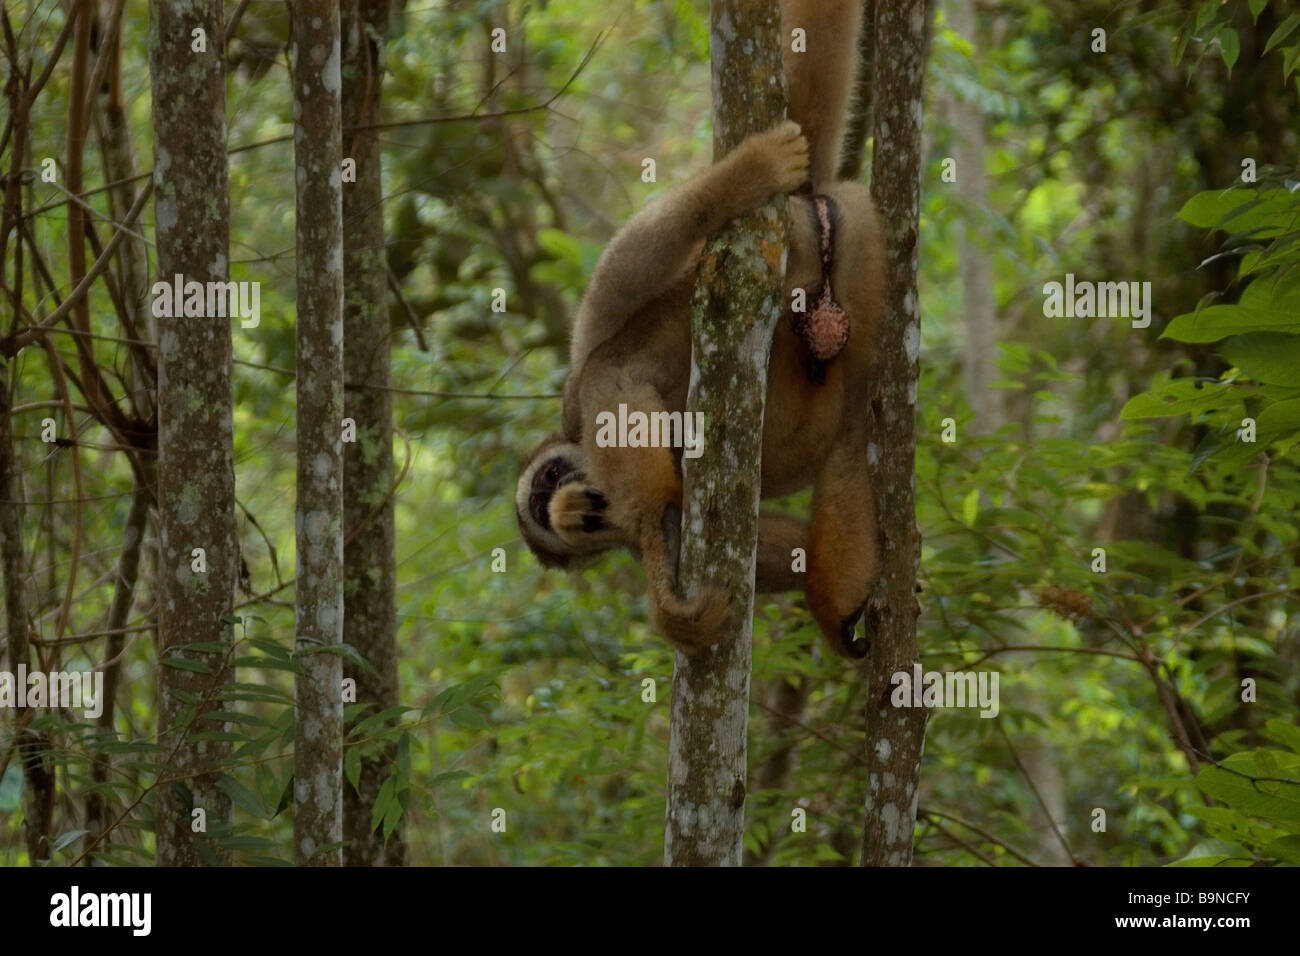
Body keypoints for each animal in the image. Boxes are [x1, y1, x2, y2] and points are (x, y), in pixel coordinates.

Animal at [515, 0, 884, 660]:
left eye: (549, 478)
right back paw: (835, 605)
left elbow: (622, 286)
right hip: (855, 262)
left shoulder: (574, 388)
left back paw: (747, 175)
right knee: (849, 429)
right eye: (547, 503)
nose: (570, 499)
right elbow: (778, 549)